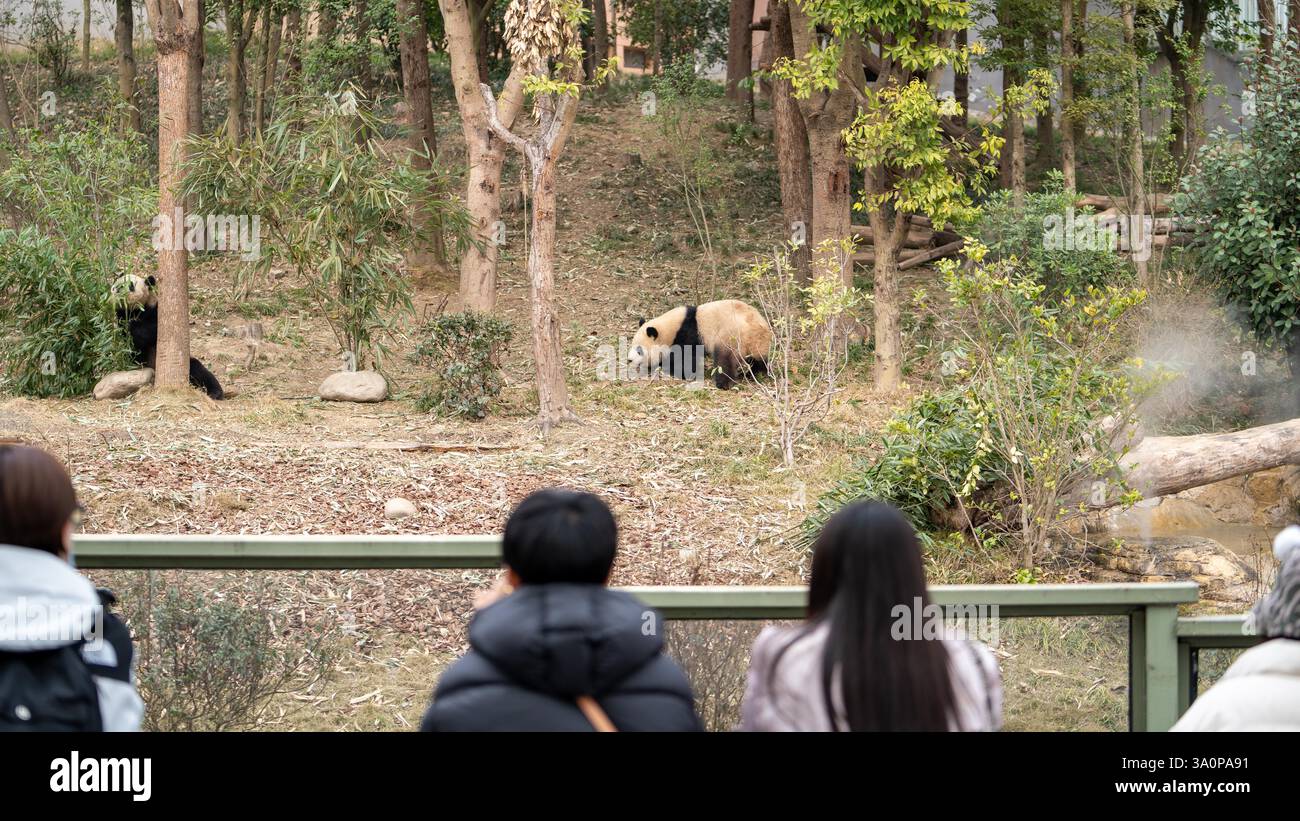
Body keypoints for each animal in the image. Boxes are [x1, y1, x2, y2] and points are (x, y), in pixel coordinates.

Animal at [627, 299, 772, 389]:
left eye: (639, 350)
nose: (629, 360)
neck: (670, 329)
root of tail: (757, 327)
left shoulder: (688, 333)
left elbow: (685, 357)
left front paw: (678, 372)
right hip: (756, 343)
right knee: (758, 358)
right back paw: (756, 373)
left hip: (731, 336)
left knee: (725, 359)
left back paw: (723, 383)